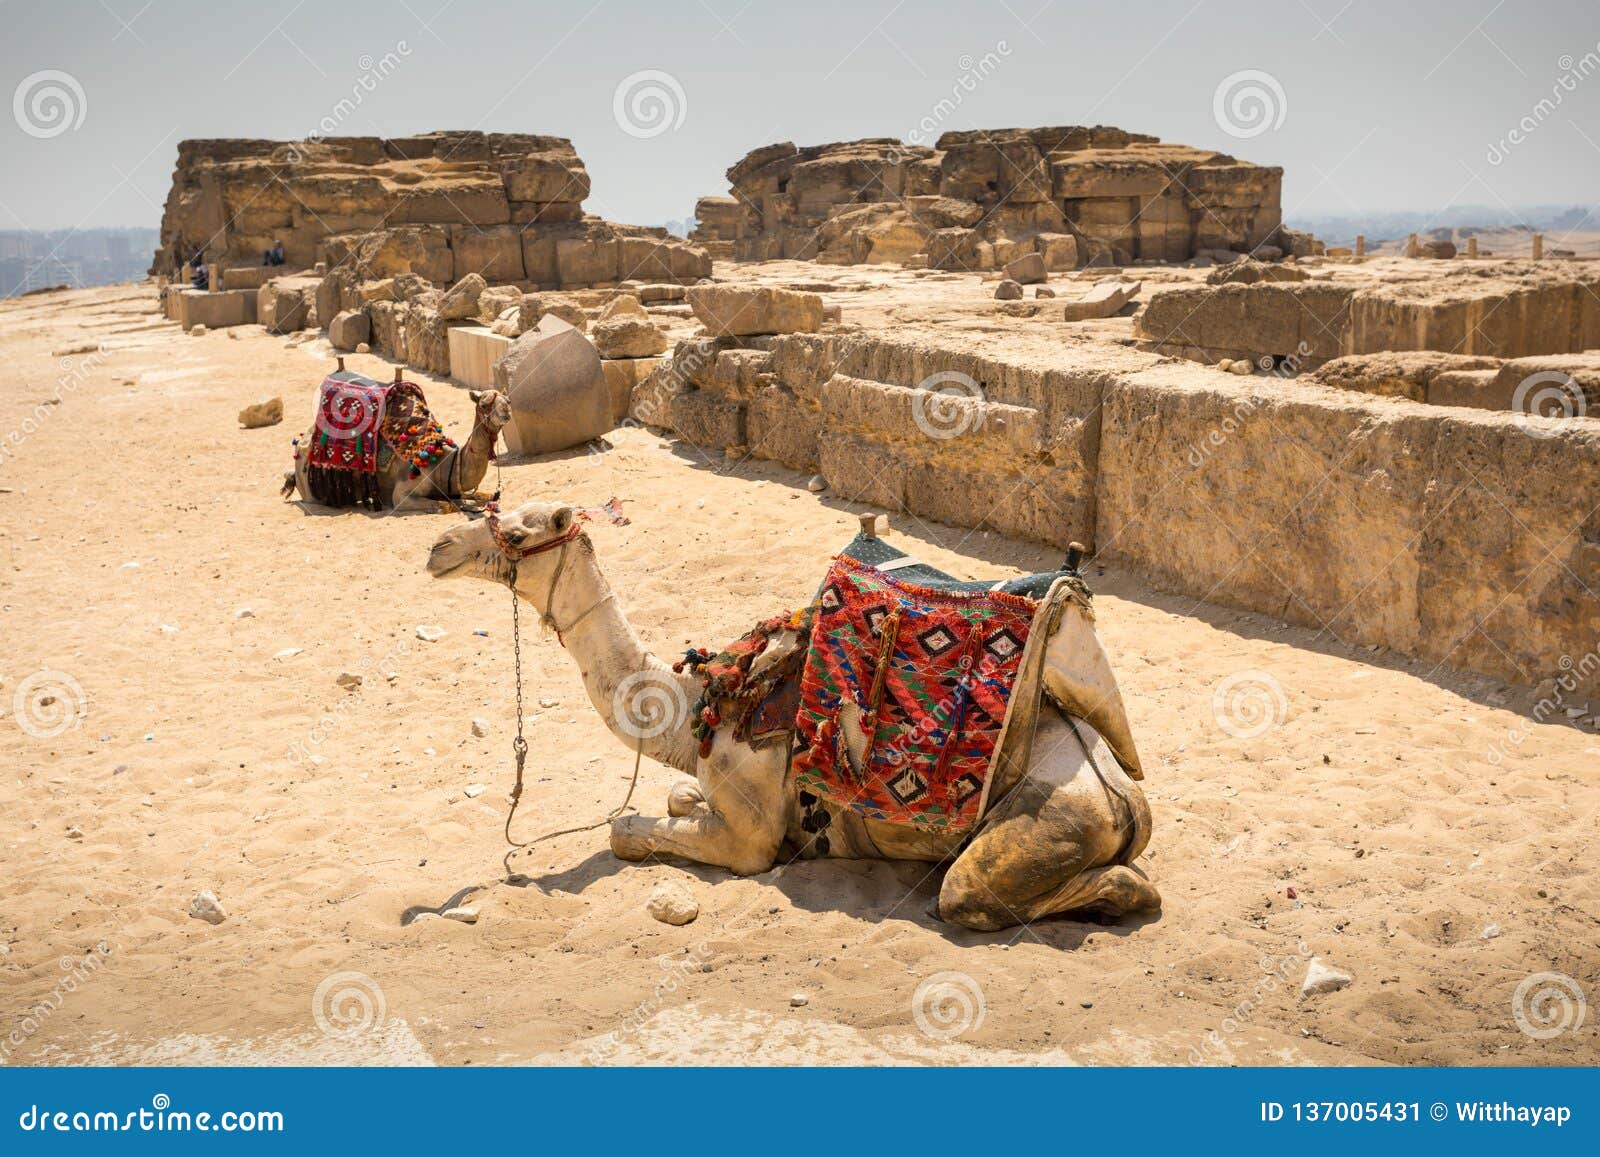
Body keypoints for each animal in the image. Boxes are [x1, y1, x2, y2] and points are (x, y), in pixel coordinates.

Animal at [284, 388, 511, 511]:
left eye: (507, 400)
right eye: (484, 404)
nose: (506, 412)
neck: (443, 461)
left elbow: (484, 495)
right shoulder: (402, 494)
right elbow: (448, 505)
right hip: (311, 487)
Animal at [427, 501, 1161, 931]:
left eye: (514, 532)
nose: (437, 547)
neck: (697, 706)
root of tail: (1129, 803)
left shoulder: (745, 834)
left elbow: (627, 831)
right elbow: (676, 796)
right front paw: (685, 800)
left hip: (1042, 827)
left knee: (982, 894)